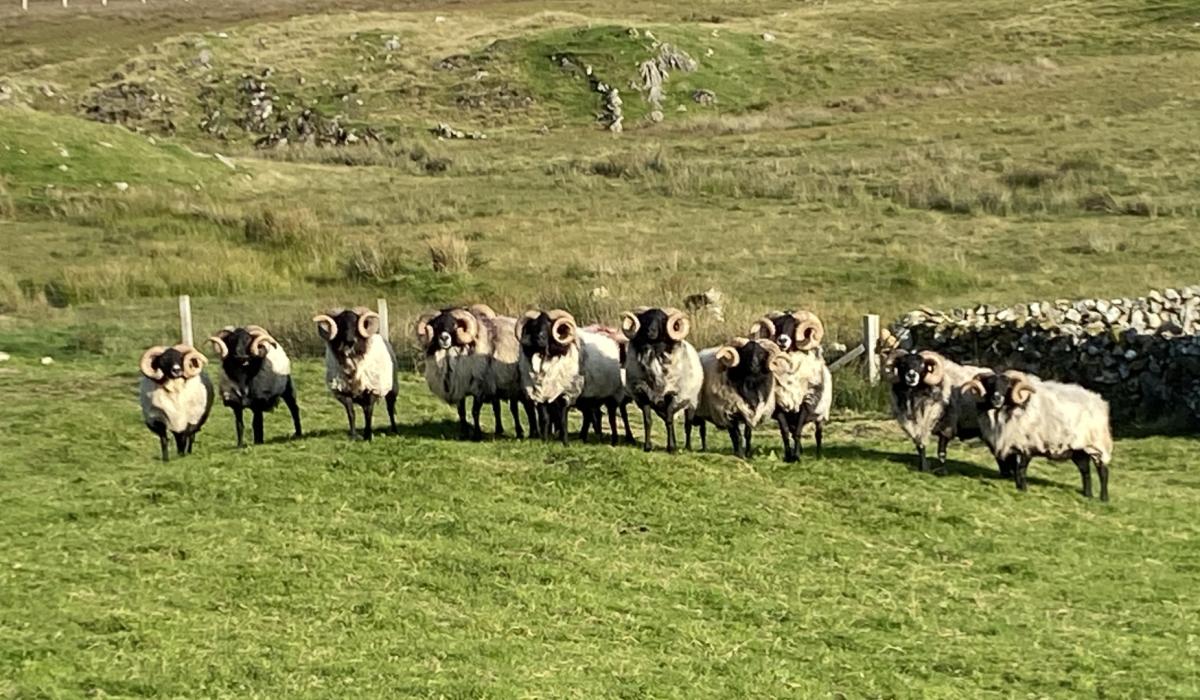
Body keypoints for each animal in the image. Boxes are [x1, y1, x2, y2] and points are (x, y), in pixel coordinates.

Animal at [313, 307, 398, 441]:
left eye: (356, 322)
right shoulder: (343, 392)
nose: (350, 340)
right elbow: (351, 413)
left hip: (392, 388)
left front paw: (368, 436)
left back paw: (394, 430)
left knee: (390, 408)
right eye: (341, 323)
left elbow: (369, 413)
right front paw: (353, 436)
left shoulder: (372, 389)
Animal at [415, 304, 531, 440]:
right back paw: (503, 431)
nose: (444, 338)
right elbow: (462, 412)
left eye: (455, 325)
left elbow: (475, 411)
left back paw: (524, 432)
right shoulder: (459, 387)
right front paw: (464, 433)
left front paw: (477, 434)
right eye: (435, 326)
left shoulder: (480, 388)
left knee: (521, 408)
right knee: (507, 408)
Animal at [621, 307, 703, 453]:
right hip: (660, 407)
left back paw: (687, 447)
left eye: (662, 320)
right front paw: (648, 447)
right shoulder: (643, 394)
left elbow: (670, 421)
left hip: (691, 402)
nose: (650, 332)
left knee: (687, 425)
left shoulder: (672, 394)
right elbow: (648, 421)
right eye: (645, 319)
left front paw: (671, 448)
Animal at [748, 310, 832, 461]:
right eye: (777, 325)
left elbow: (798, 432)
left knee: (818, 434)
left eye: (794, 326)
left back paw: (818, 455)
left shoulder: (805, 403)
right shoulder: (780, 406)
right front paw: (789, 456)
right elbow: (785, 432)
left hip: (820, 413)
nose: (782, 340)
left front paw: (796, 457)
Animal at [965, 369, 1113, 500]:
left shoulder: (1026, 446)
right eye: (989, 384)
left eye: (1008, 385)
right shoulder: (1010, 445)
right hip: (1078, 450)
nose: (997, 398)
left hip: (1097, 445)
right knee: (1085, 471)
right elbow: (1015, 468)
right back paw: (1088, 495)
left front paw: (1023, 490)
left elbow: (1021, 469)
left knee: (1103, 471)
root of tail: (1099, 401)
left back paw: (1104, 498)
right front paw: (1018, 487)